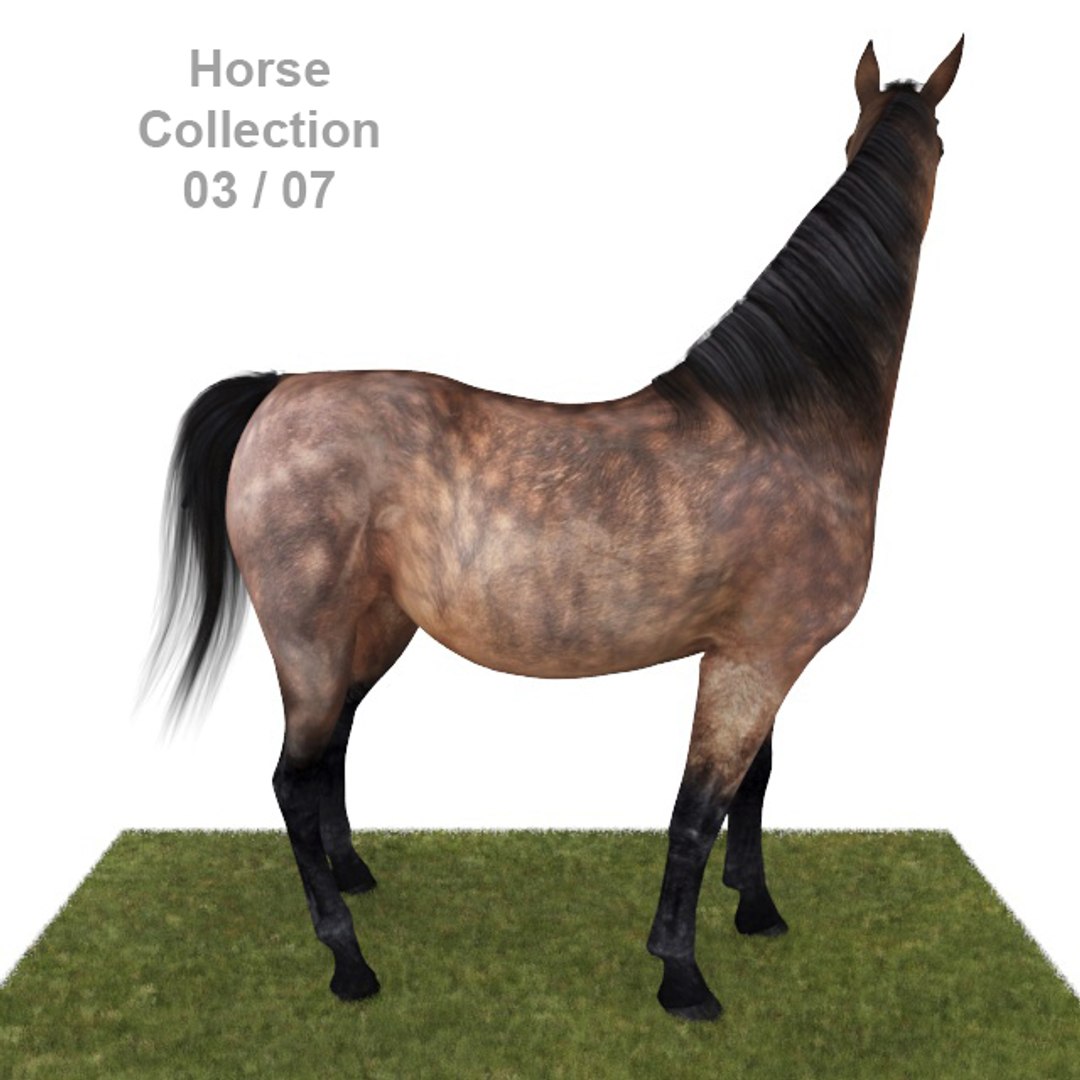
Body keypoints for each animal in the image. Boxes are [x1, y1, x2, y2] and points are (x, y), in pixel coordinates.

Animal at [146, 38, 963, 1021]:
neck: (786, 418)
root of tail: (279, 390)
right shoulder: (755, 658)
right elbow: (697, 811)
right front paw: (682, 978)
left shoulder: (761, 651)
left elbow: (753, 787)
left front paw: (757, 912)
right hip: (310, 640)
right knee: (292, 782)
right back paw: (349, 962)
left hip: (371, 631)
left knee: (331, 749)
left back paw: (357, 880)